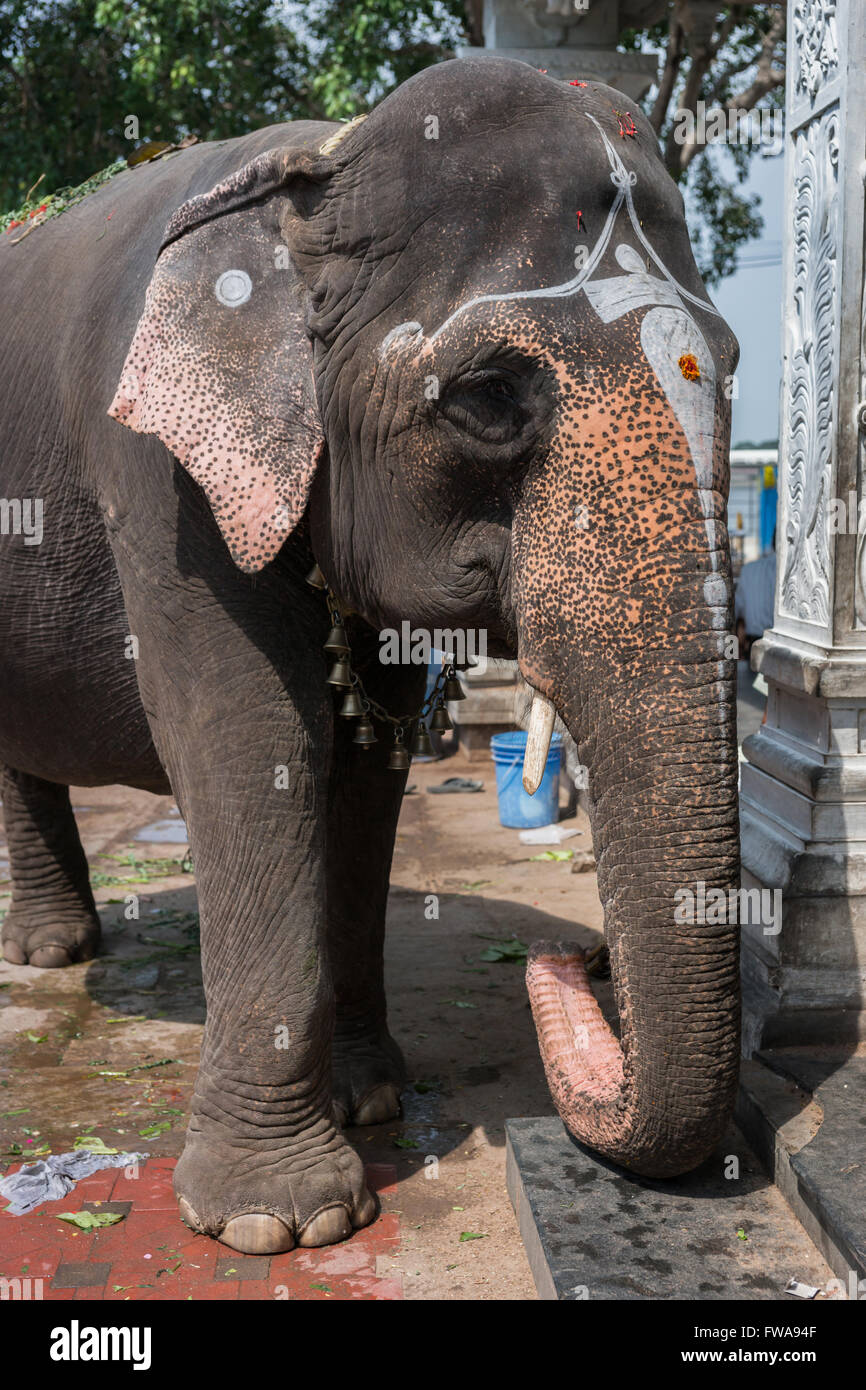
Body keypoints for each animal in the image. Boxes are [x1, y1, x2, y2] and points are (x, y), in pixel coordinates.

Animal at [0, 56, 740, 1253]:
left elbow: (360, 758)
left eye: (730, 364)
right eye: (487, 398)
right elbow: (253, 739)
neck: (320, 160)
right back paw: (49, 959)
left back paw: (61, 952)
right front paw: (278, 1223)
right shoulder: (154, 474)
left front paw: (374, 1098)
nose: (572, 959)